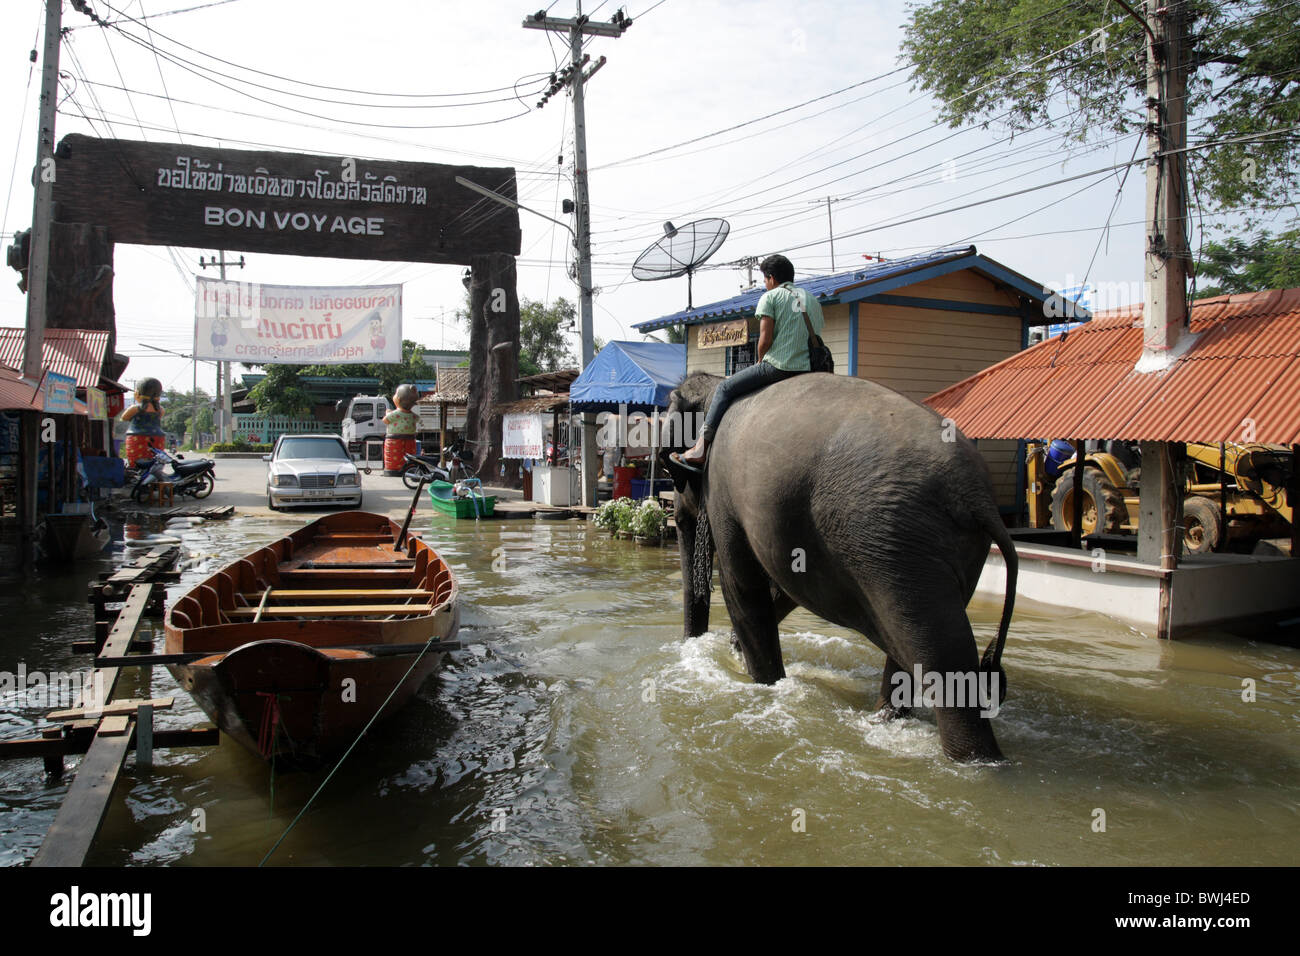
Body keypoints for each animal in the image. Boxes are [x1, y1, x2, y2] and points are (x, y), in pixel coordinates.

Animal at [659, 371, 1018, 762]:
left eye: (668, 463)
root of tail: (977, 496)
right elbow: (785, 584)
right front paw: (737, 649)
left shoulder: (723, 493)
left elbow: (742, 587)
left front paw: (766, 682)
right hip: (943, 552)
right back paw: (884, 721)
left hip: (894, 544)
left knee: (943, 656)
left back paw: (976, 761)